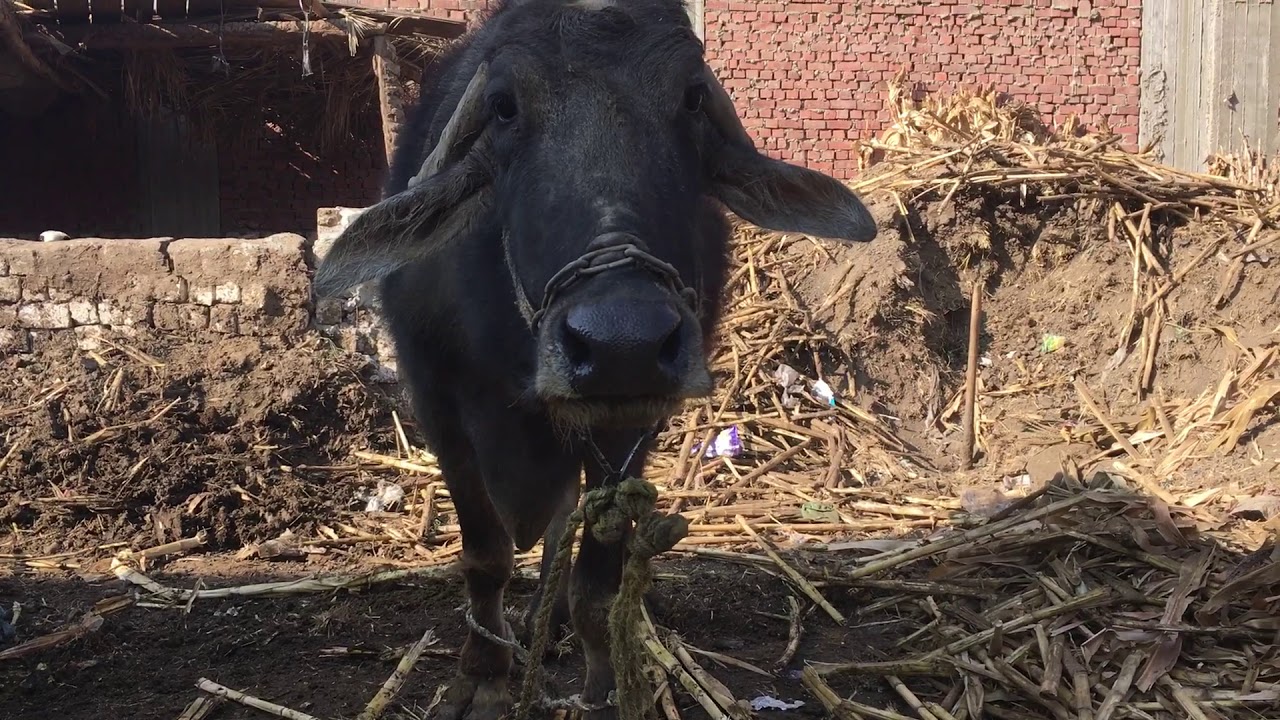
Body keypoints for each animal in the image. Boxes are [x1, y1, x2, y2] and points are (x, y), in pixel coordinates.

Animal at [313, 0, 876, 717]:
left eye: (692, 97)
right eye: (503, 106)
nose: (622, 345)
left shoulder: (634, 424)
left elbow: (595, 577)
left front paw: (605, 682)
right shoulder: (438, 406)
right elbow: (485, 556)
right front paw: (483, 674)